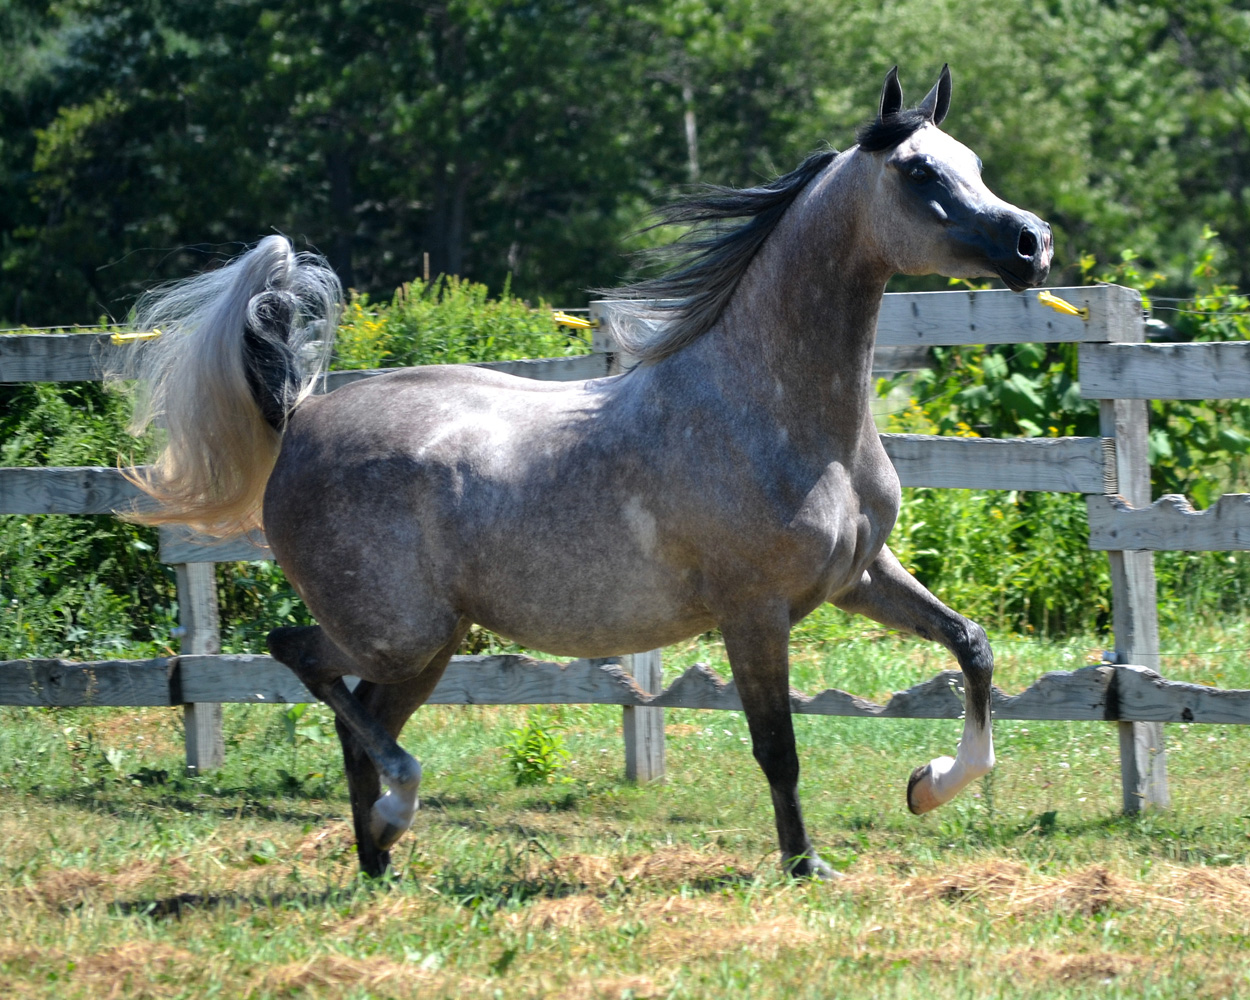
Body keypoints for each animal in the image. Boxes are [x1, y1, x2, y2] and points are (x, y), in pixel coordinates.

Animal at [119, 66, 1051, 879]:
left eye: (973, 161)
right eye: (919, 171)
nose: (1032, 243)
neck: (774, 414)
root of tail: (300, 418)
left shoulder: (858, 577)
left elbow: (972, 648)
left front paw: (929, 786)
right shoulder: (755, 614)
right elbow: (778, 749)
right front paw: (805, 865)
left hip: (425, 644)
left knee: (358, 716)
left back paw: (380, 857)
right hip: (398, 629)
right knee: (306, 665)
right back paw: (398, 809)